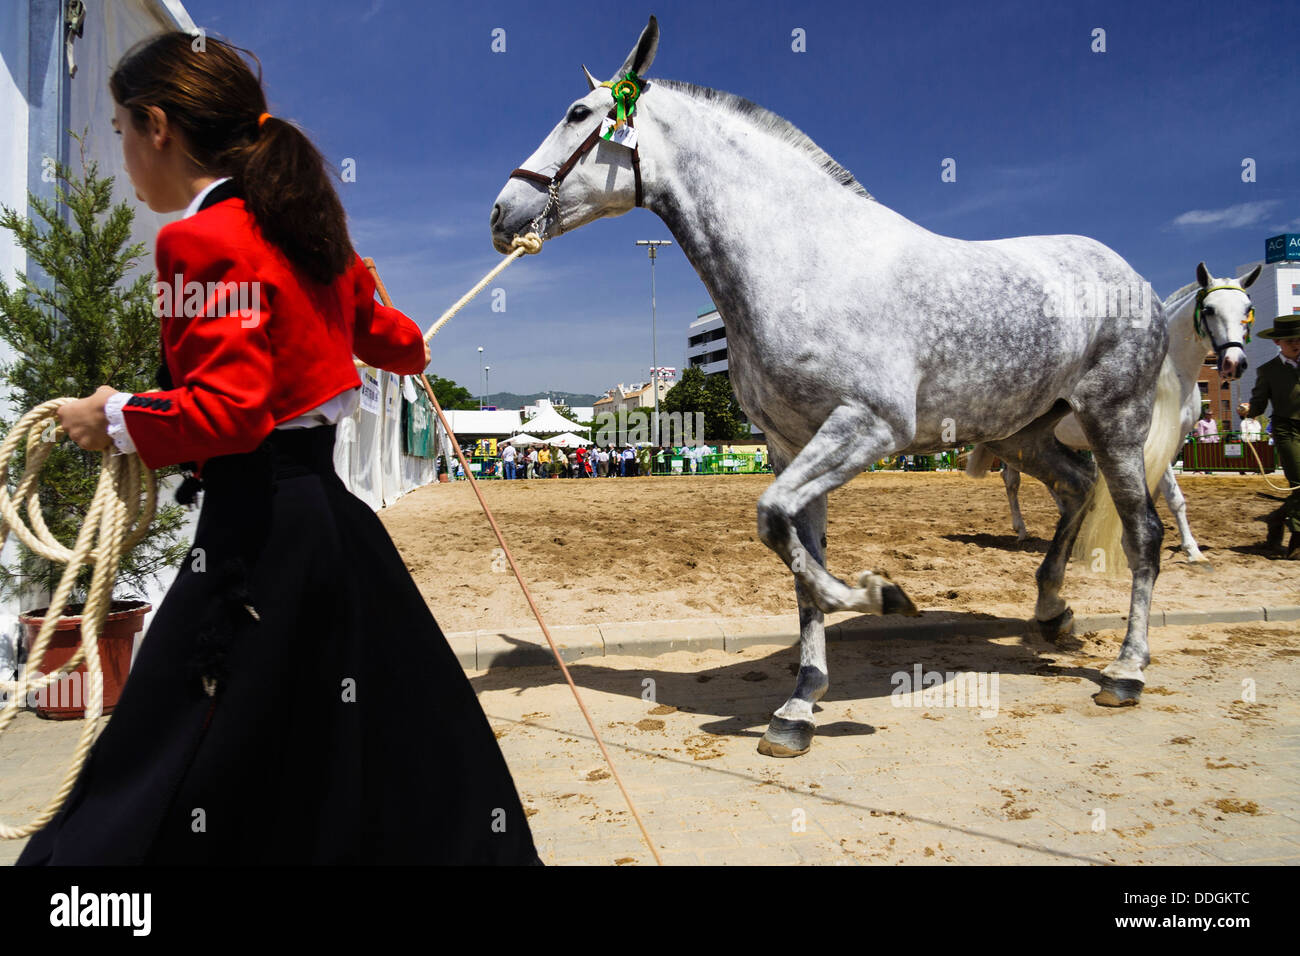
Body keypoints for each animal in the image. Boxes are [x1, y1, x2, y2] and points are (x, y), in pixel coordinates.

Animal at [490, 16, 1207, 757]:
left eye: (579, 114)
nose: (501, 212)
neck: (806, 260)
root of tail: (1133, 279)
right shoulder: (789, 444)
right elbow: (796, 556)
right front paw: (799, 706)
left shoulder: (867, 426)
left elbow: (773, 521)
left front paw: (883, 595)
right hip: (1027, 434)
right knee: (1075, 490)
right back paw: (1051, 611)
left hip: (1114, 422)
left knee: (1143, 535)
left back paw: (1125, 671)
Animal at [977, 264, 1261, 566]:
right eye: (1209, 309)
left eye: (1247, 309)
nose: (1234, 364)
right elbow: (1168, 496)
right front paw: (1190, 551)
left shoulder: (1173, 445)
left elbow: (1162, 496)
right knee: (1013, 480)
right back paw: (1023, 529)